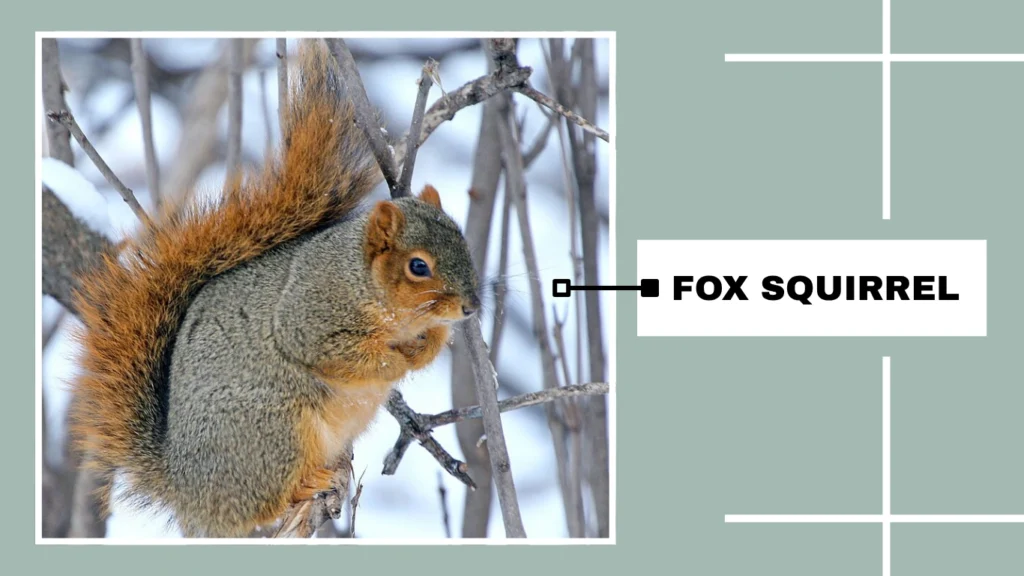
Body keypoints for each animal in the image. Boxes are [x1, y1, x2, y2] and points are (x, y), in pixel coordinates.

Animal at [65, 38, 482, 538]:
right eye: (418, 266)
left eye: (463, 238)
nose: (472, 307)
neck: (369, 288)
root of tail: (186, 489)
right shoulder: (310, 315)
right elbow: (341, 354)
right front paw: (395, 361)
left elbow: (431, 339)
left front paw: (425, 349)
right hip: (277, 431)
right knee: (260, 505)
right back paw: (305, 486)